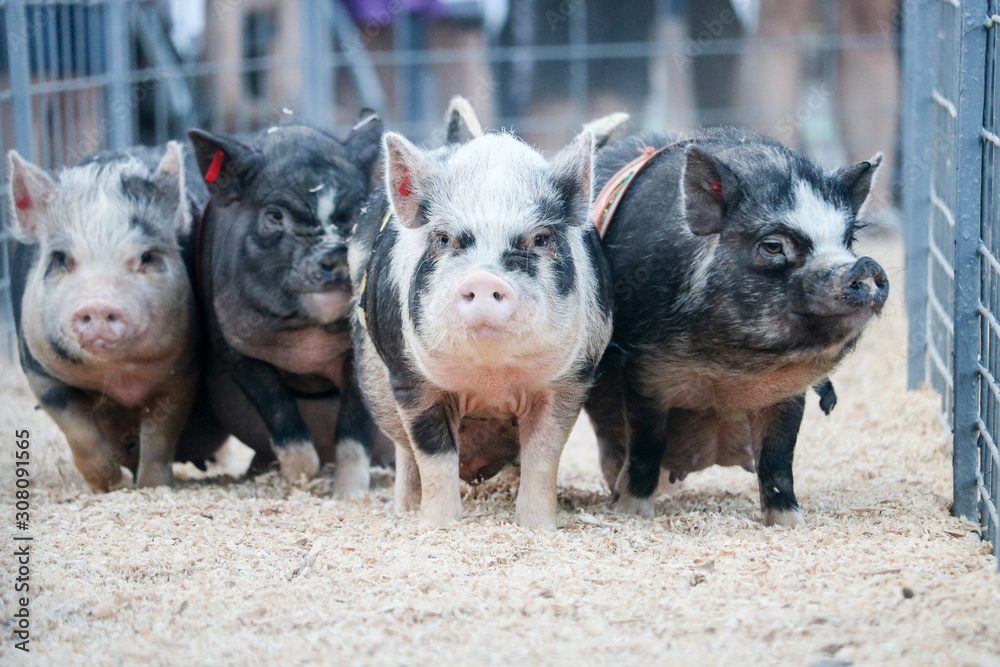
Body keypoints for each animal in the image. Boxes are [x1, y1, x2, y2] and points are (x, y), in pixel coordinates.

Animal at [7, 142, 226, 491]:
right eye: (60, 258)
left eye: (147, 256)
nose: (97, 304)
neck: (118, 378)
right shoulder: (41, 374)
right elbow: (78, 431)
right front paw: (110, 483)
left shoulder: (182, 373)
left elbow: (160, 436)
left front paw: (152, 486)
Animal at [187, 112, 385, 494]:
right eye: (275, 216)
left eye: (357, 212)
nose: (335, 252)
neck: (307, 347)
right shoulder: (236, 352)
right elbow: (280, 412)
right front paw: (304, 479)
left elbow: (354, 429)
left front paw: (350, 493)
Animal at [351, 99, 613, 529]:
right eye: (442, 238)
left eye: (541, 238)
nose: (485, 278)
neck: (492, 382)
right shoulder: (411, 381)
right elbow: (434, 457)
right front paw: (439, 525)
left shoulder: (570, 381)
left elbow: (544, 456)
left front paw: (538, 527)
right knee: (406, 455)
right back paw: (404, 509)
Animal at [585, 127, 887, 527]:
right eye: (773, 246)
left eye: (849, 241)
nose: (865, 266)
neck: (728, 372)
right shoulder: (644, 372)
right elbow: (646, 447)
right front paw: (631, 513)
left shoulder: (788, 392)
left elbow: (778, 460)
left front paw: (792, 524)